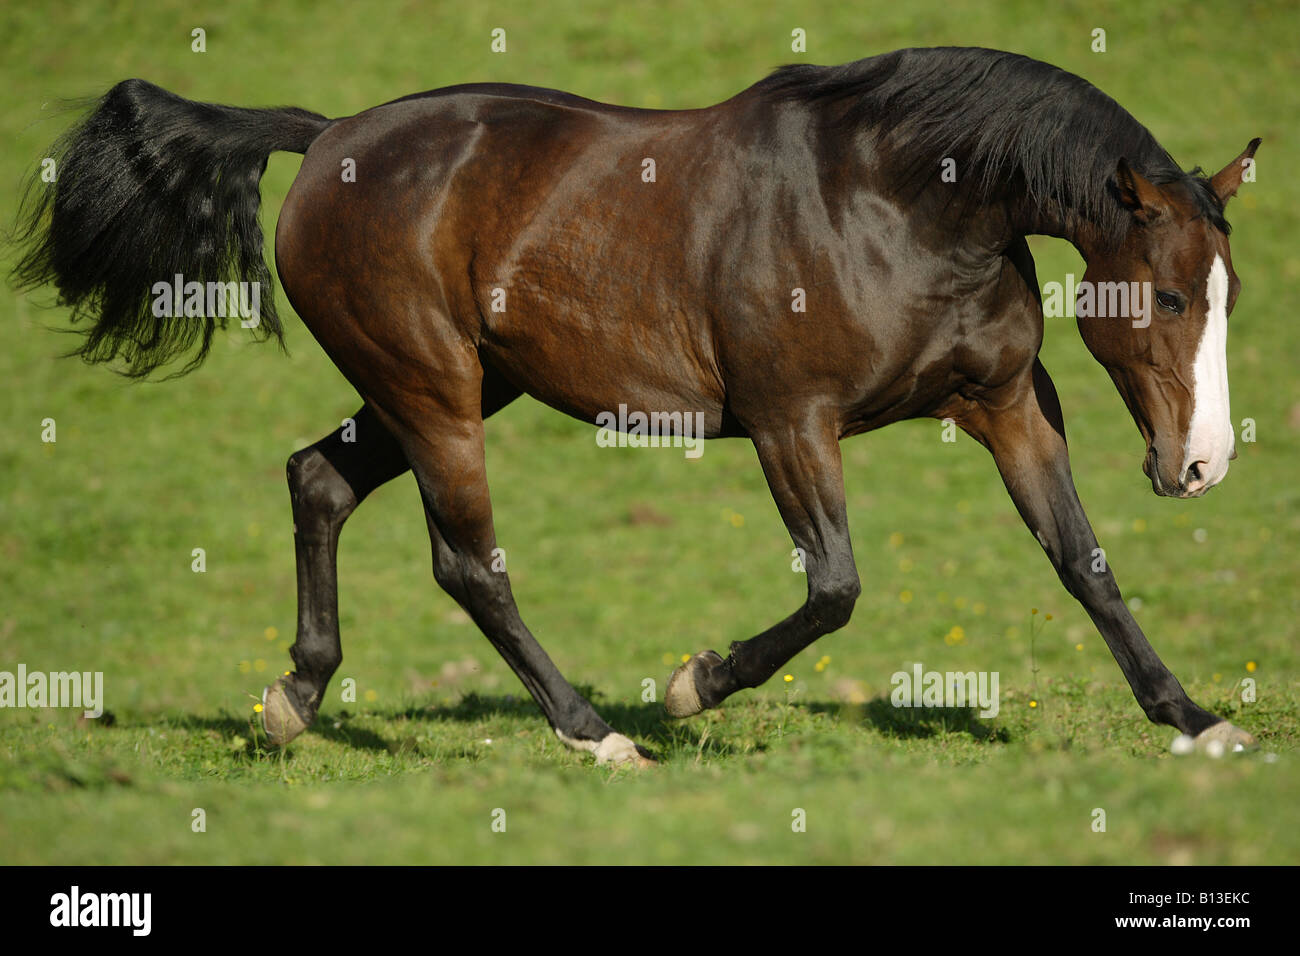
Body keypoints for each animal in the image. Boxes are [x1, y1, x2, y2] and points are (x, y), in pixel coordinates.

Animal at [11, 46, 1260, 765]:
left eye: (1227, 291)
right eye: (1164, 293)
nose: (1201, 466)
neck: (895, 201)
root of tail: (327, 142)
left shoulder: (1004, 403)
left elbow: (1082, 562)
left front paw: (1196, 719)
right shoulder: (788, 421)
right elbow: (835, 588)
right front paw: (691, 684)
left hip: (446, 386)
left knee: (317, 479)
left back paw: (294, 697)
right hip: (433, 393)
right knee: (467, 563)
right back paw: (596, 732)